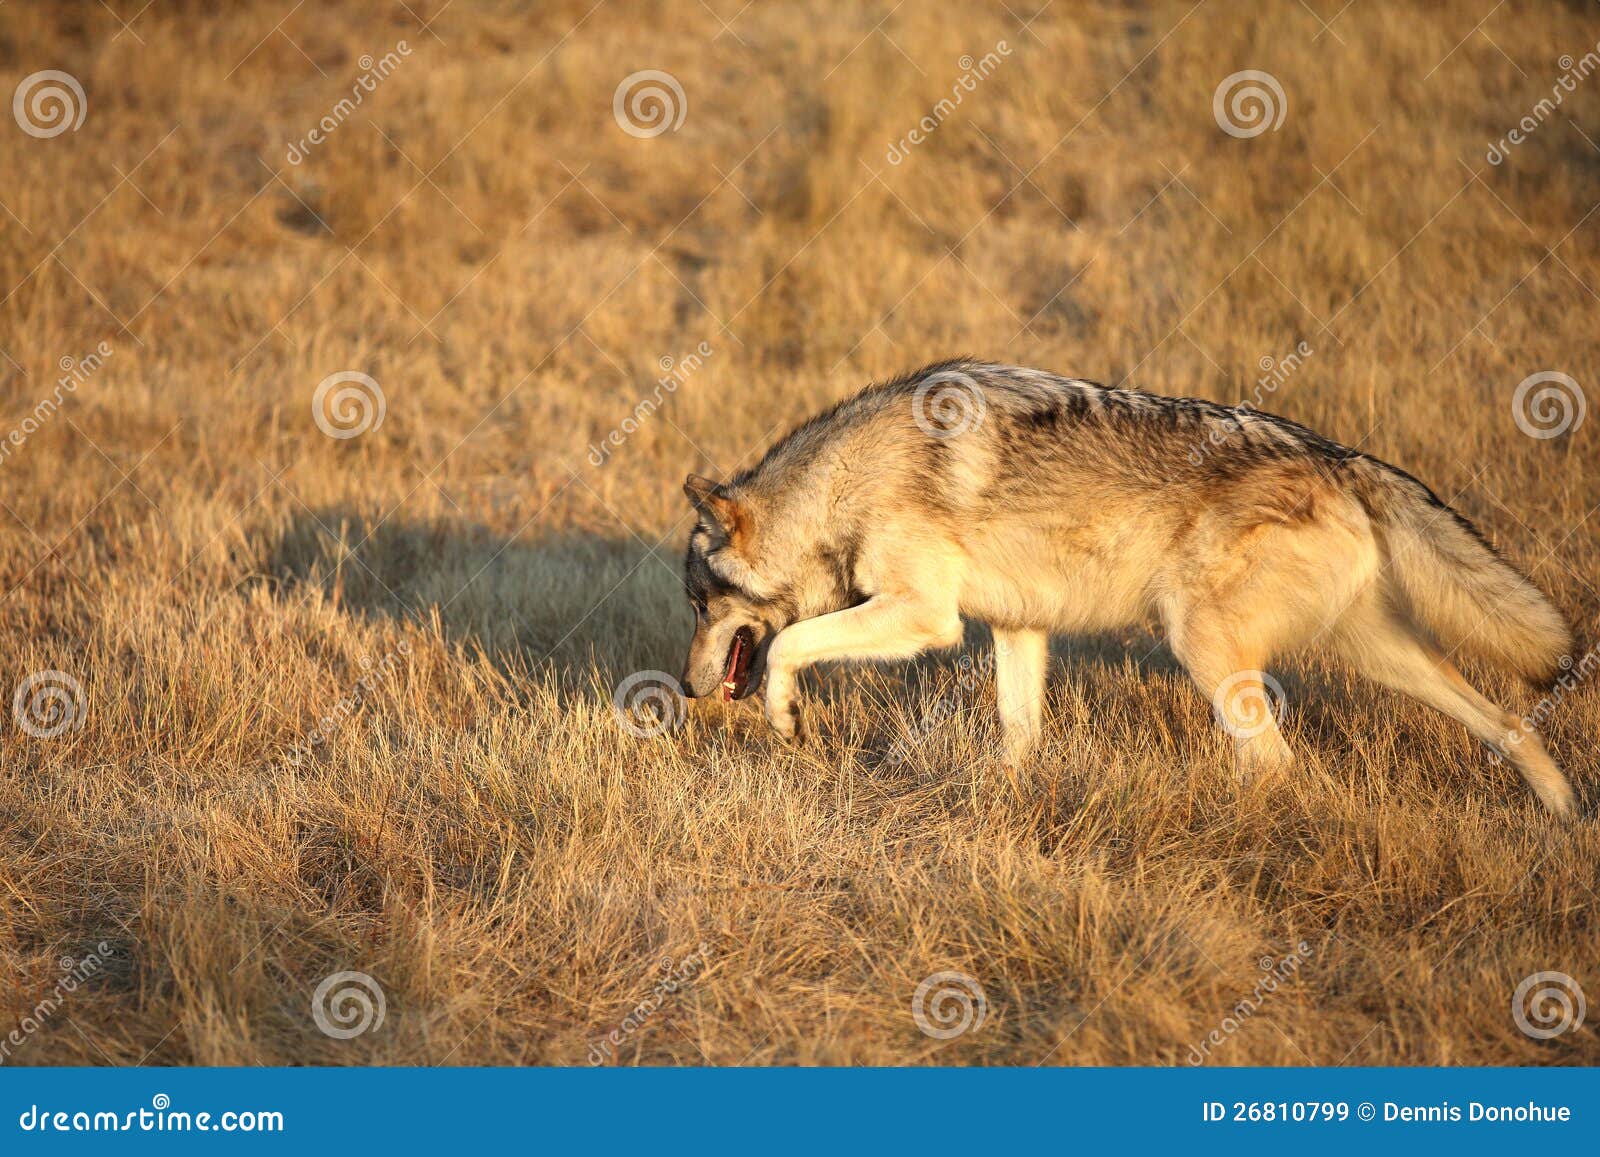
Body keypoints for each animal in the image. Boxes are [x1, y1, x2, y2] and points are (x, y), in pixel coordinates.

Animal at [679, 360, 1577, 815]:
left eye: (698, 603)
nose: (685, 689)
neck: (844, 483)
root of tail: (1340, 456)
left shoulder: (927, 617)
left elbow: (790, 646)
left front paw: (786, 716)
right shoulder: (1017, 628)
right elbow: (1018, 734)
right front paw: (1001, 804)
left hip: (1203, 646)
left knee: (1276, 762)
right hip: (1378, 654)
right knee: (1507, 723)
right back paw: (1564, 817)